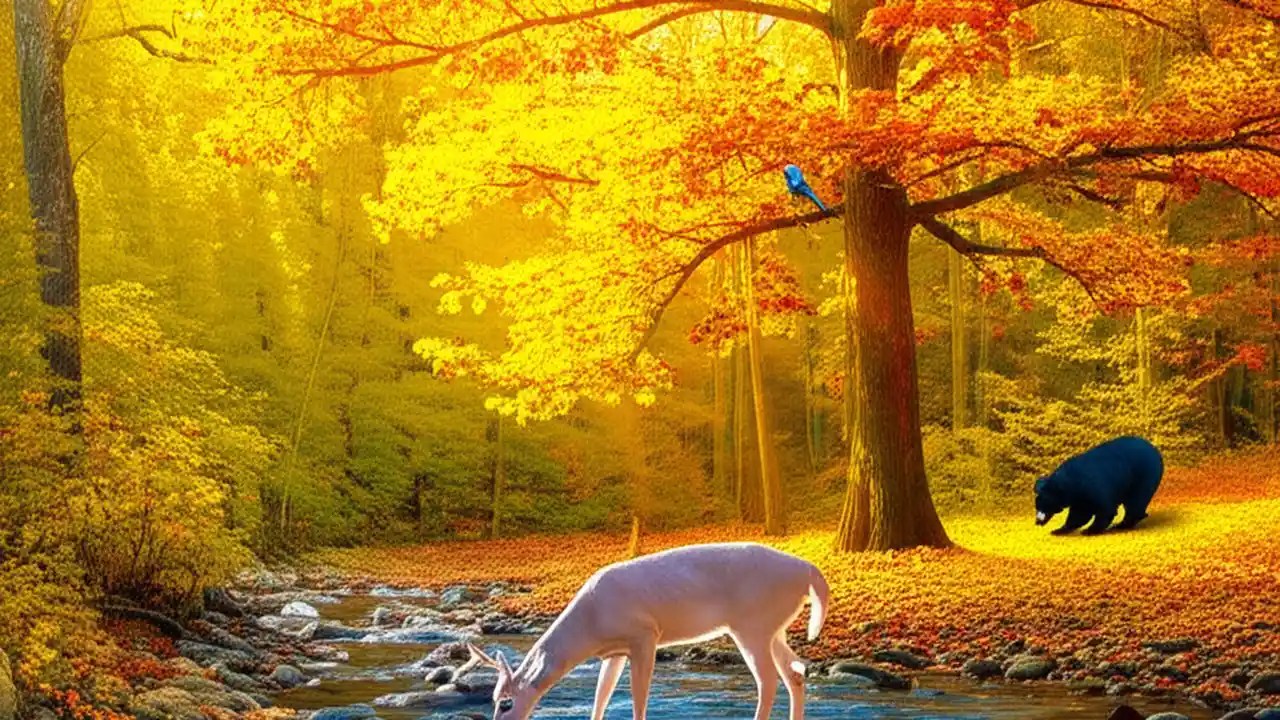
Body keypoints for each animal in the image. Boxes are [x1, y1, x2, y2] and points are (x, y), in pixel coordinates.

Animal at [448, 541, 830, 720]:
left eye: (506, 703)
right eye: (493, 700)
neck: (590, 627)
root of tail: (810, 571)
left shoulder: (645, 634)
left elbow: (638, 698)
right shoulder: (614, 652)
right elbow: (600, 696)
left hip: (752, 624)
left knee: (768, 680)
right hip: (774, 628)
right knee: (795, 672)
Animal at [1034, 435, 1163, 535]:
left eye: (1043, 506)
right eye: (1037, 506)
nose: (1037, 522)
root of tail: (1155, 450)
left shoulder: (1093, 486)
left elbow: (1105, 509)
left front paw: (1089, 530)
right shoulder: (1079, 498)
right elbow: (1079, 514)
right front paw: (1059, 530)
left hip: (1143, 477)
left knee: (1136, 502)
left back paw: (1121, 525)